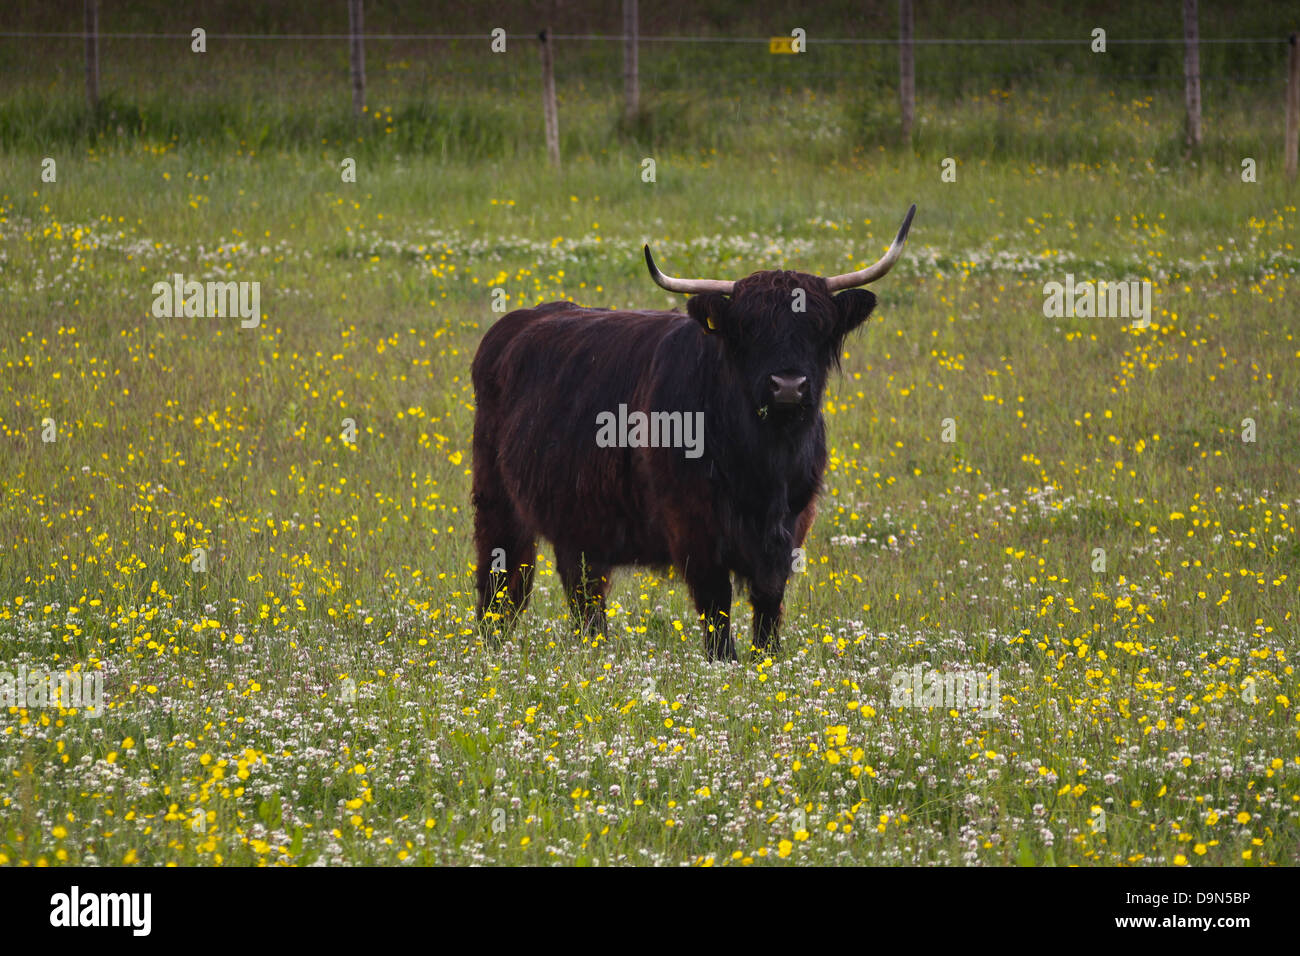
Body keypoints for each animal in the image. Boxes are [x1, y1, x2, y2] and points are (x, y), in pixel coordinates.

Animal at [471, 204, 915, 661]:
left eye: (818, 327)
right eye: (747, 329)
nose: (788, 385)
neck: (765, 459)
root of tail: (520, 320)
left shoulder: (792, 521)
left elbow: (769, 597)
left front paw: (768, 658)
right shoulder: (692, 521)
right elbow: (716, 600)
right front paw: (725, 660)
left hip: (577, 510)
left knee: (583, 583)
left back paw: (594, 646)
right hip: (496, 498)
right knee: (502, 575)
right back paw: (493, 641)